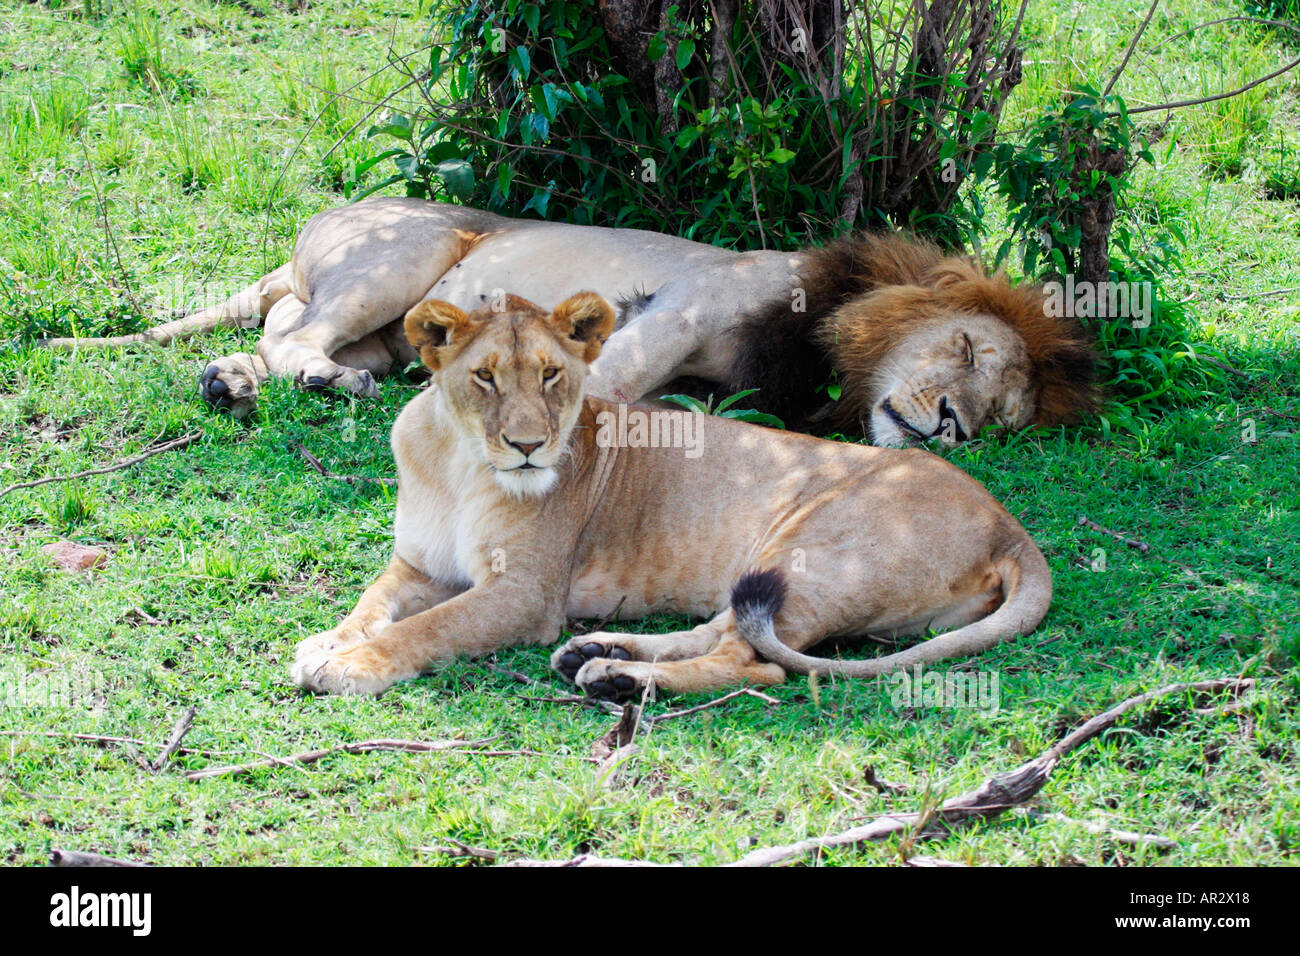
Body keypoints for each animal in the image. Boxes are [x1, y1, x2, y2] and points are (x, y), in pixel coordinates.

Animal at [289, 290, 1053, 700]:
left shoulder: (525, 594)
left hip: (816, 548)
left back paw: (614, 677)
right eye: (485, 377)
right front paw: (327, 642)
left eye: (552, 376)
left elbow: (428, 628)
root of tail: (1012, 529)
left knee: (758, 661)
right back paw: (598, 653)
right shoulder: (419, 566)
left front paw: (350, 666)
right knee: (725, 631)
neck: (460, 463)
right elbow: (372, 604)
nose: (530, 445)